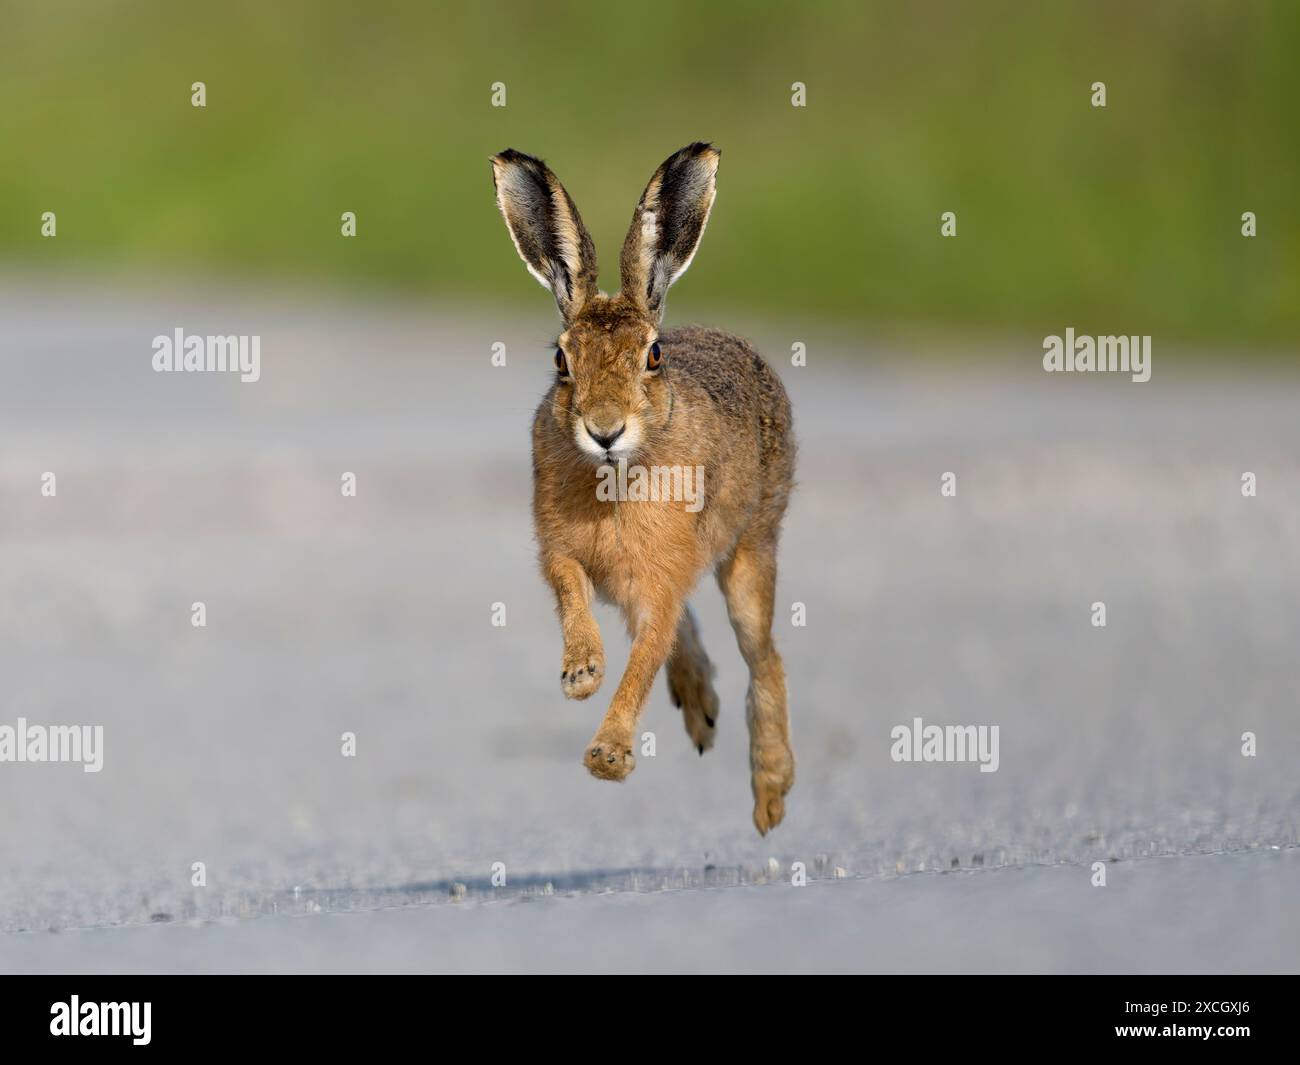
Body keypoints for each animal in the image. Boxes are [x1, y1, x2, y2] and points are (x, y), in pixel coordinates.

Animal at [490, 142, 796, 835]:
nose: (605, 430)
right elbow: (573, 596)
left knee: (763, 654)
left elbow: (644, 660)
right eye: (561, 360)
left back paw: (770, 793)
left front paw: (607, 756)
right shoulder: (561, 552)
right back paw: (700, 706)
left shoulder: (660, 581)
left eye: (653, 356)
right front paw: (581, 672)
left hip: (752, 547)